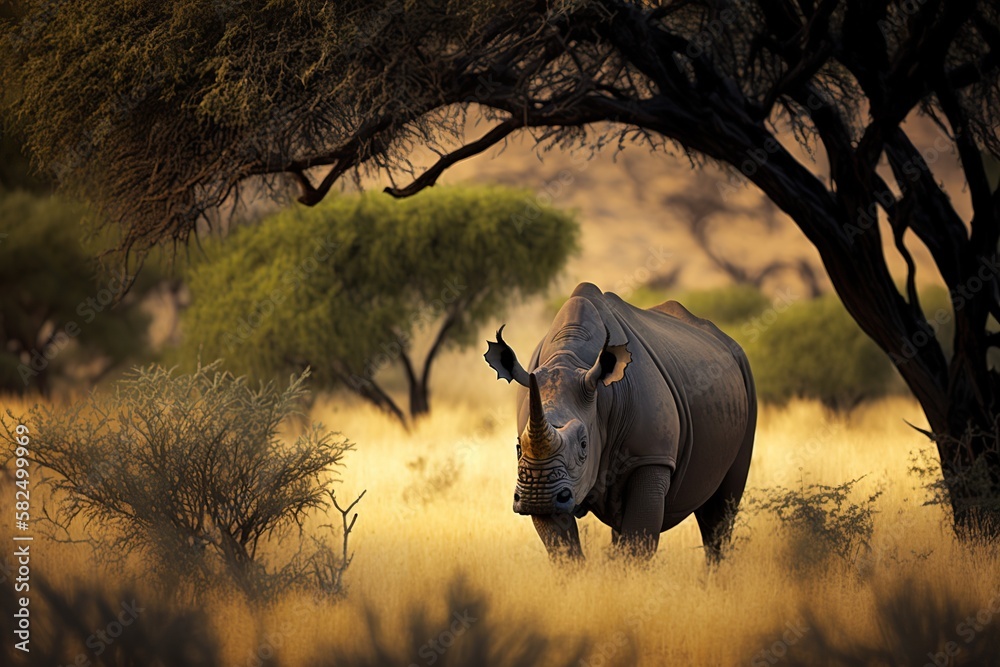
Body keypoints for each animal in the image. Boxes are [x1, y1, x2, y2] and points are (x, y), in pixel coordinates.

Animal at [484, 282, 756, 561]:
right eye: (518, 447)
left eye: (584, 445)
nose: (536, 494)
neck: (570, 359)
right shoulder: (544, 473)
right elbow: (563, 550)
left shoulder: (650, 457)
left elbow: (638, 542)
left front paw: (630, 574)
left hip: (745, 375)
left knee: (720, 512)